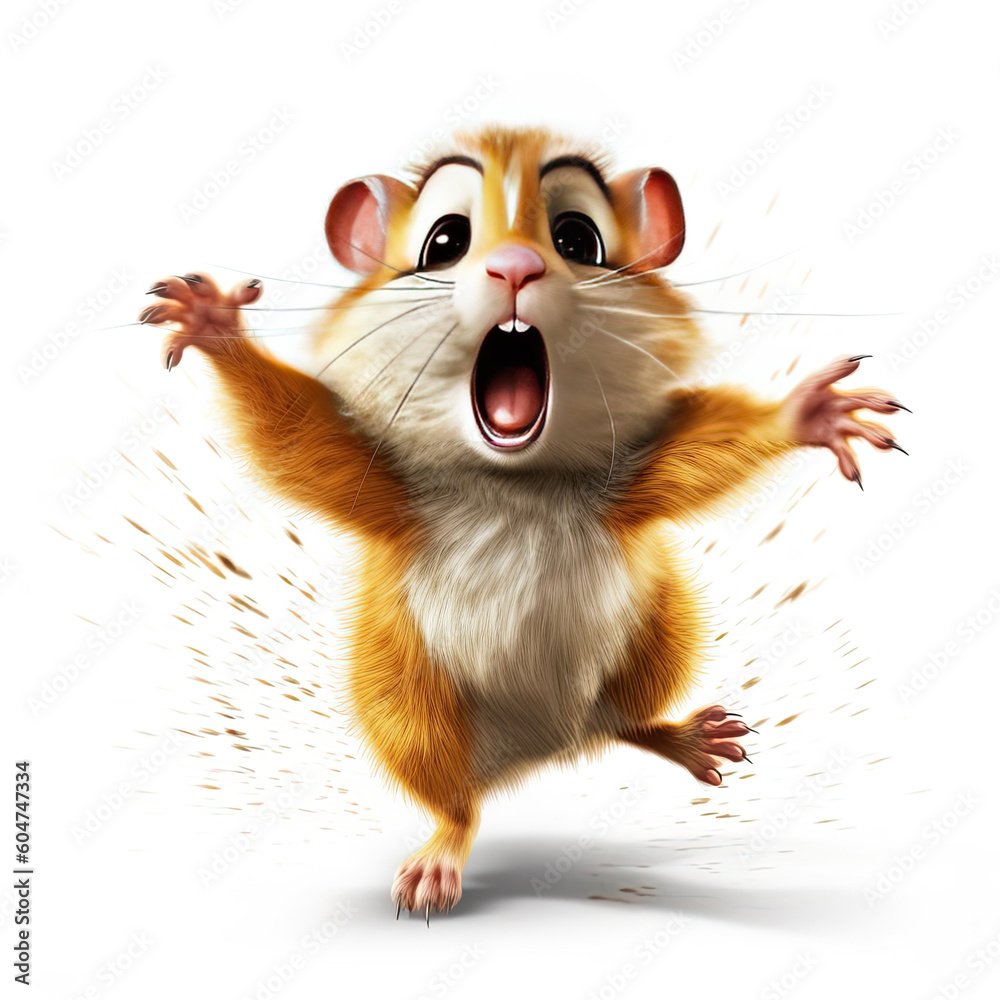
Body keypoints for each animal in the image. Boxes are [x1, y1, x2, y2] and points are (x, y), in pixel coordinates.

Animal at [138, 125, 905, 919]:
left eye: (578, 238)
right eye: (445, 240)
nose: (514, 266)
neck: (514, 479)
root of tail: (544, 749)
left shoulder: (627, 481)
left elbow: (690, 460)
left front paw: (811, 411)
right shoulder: (388, 481)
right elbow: (298, 441)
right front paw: (215, 325)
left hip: (657, 640)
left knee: (624, 721)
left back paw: (687, 740)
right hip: (409, 702)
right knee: (456, 803)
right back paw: (441, 854)